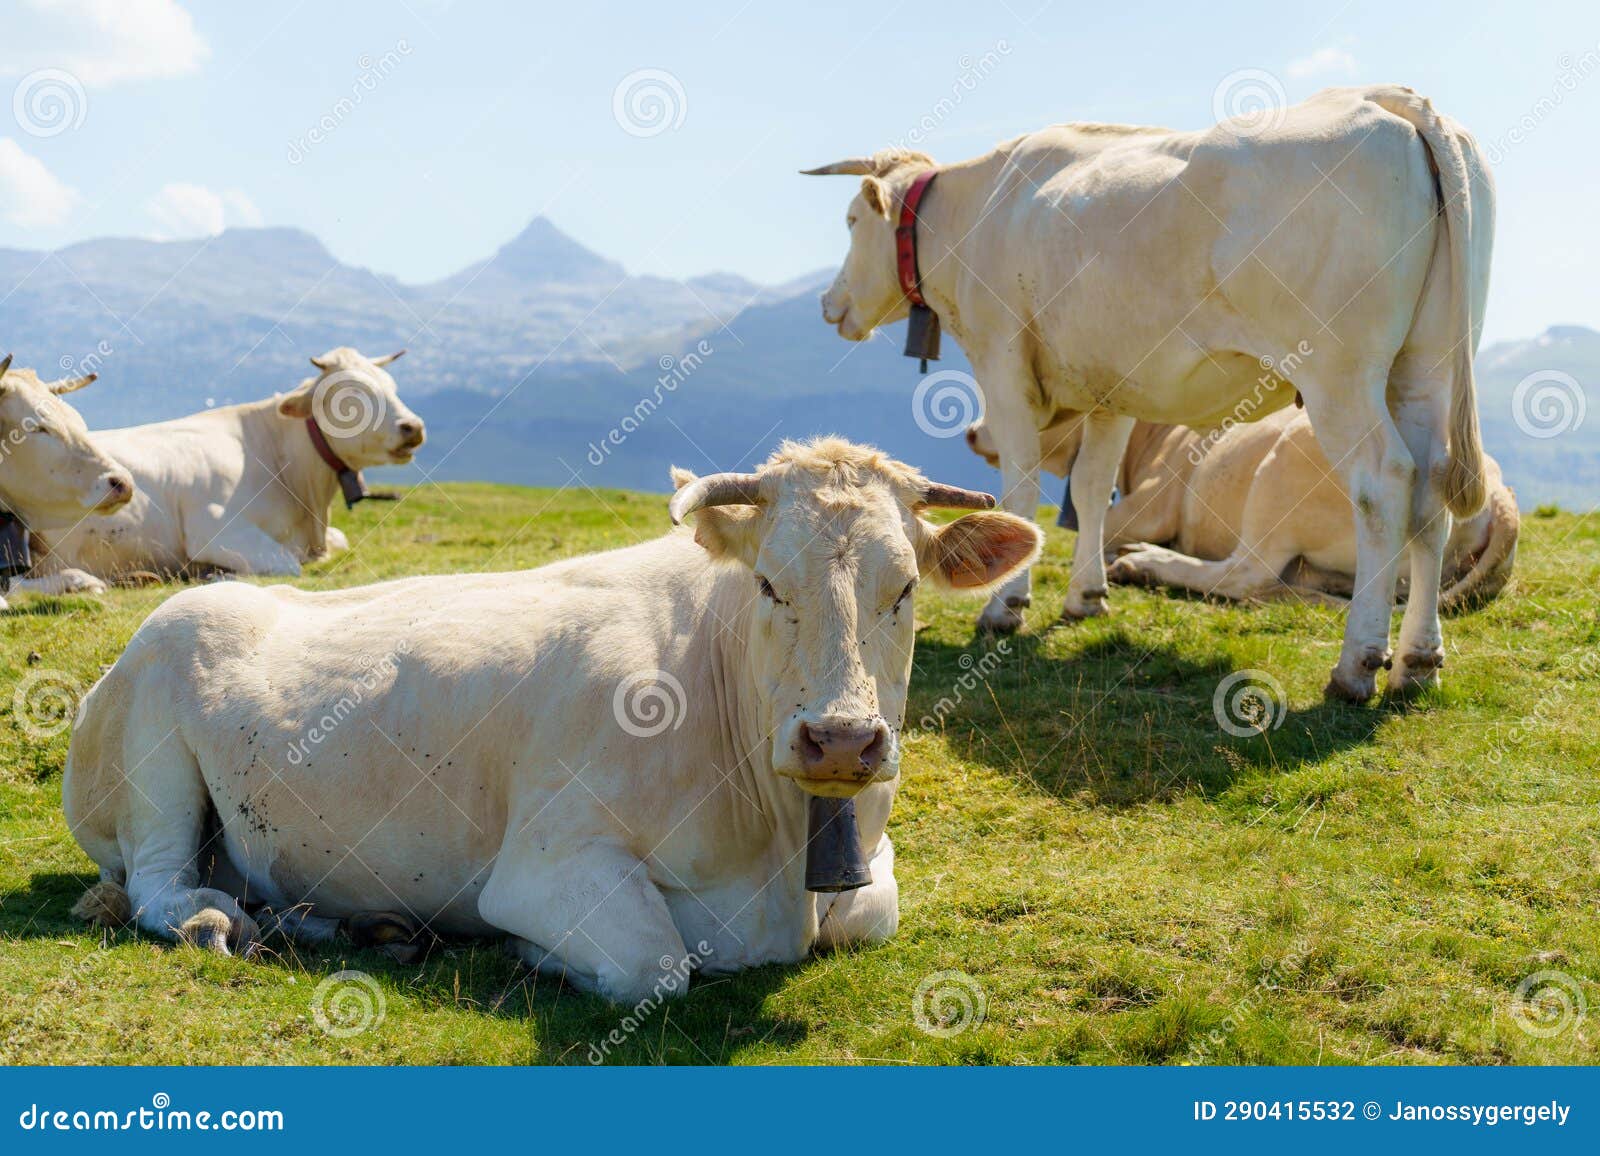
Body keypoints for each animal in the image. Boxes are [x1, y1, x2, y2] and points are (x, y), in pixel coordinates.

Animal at [13, 347, 423, 588]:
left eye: (391, 385)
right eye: (350, 393)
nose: (414, 426)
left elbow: (341, 540)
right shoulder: (213, 527)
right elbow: (288, 564)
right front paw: (214, 574)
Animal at [63, 437, 1041, 1003]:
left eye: (904, 588)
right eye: (769, 583)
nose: (840, 739)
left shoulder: (867, 859)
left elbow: (872, 913)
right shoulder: (544, 863)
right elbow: (658, 968)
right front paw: (539, 958)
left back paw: (353, 926)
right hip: (154, 745)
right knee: (158, 885)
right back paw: (217, 921)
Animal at [966, 406, 1518, 608]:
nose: (971, 430)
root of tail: (1497, 493)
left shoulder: (1156, 499)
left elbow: (1098, 525)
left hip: (1278, 478)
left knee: (1245, 574)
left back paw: (1144, 562)